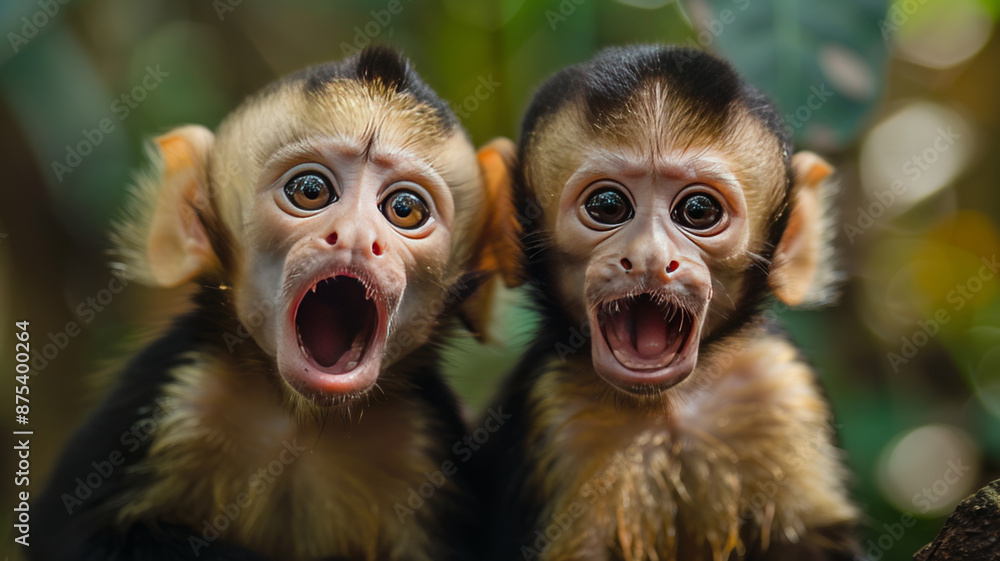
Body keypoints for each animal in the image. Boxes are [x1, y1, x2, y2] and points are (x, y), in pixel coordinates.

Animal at [32, 45, 512, 561]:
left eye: (404, 209)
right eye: (311, 191)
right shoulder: (173, 390)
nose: (357, 237)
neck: (299, 420)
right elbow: (69, 535)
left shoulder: (426, 445)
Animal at [475, 45, 862, 561]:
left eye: (698, 211)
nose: (650, 258)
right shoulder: (552, 412)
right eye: (607, 206)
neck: (671, 407)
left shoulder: (783, 386)